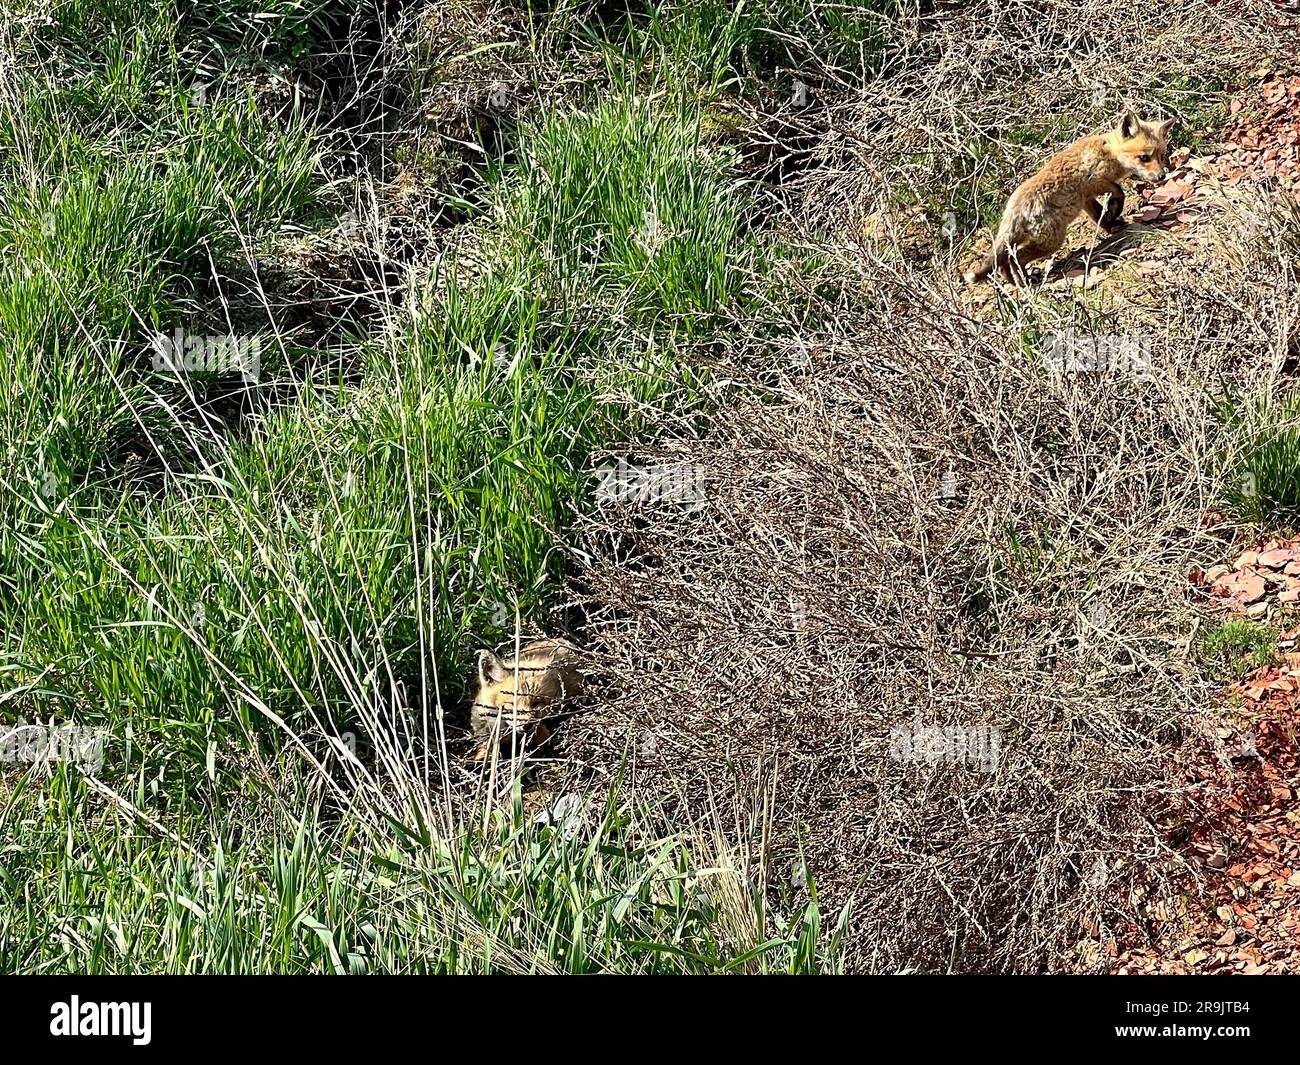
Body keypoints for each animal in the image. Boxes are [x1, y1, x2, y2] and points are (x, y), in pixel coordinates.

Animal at [965, 111, 1173, 284]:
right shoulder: (1095, 181)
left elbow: (1100, 217)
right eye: (1144, 158)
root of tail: (1013, 207)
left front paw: (1112, 224)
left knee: (1004, 260)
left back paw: (1013, 281)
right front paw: (1115, 211)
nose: (1162, 176)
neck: (1109, 152)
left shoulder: (1086, 199)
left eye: (1161, 156)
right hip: (1052, 241)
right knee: (1014, 257)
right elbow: (1119, 191)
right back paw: (1025, 280)